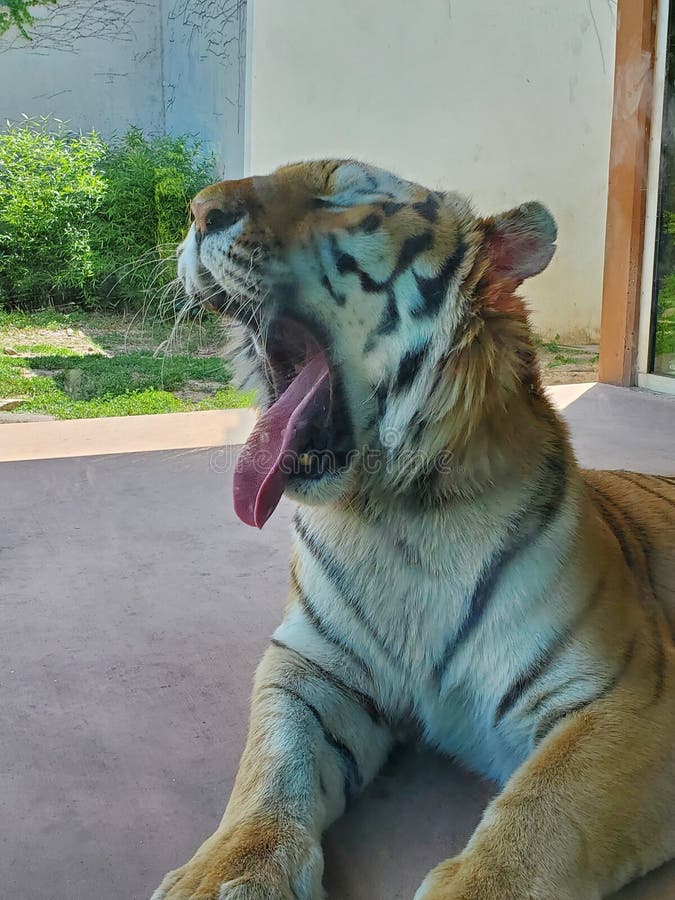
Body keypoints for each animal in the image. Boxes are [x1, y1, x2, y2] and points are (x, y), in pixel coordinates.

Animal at [151, 159, 675, 900]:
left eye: (342, 195)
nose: (197, 212)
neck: (391, 516)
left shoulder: (630, 696)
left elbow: (542, 815)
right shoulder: (310, 665)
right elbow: (270, 767)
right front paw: (224, 873)